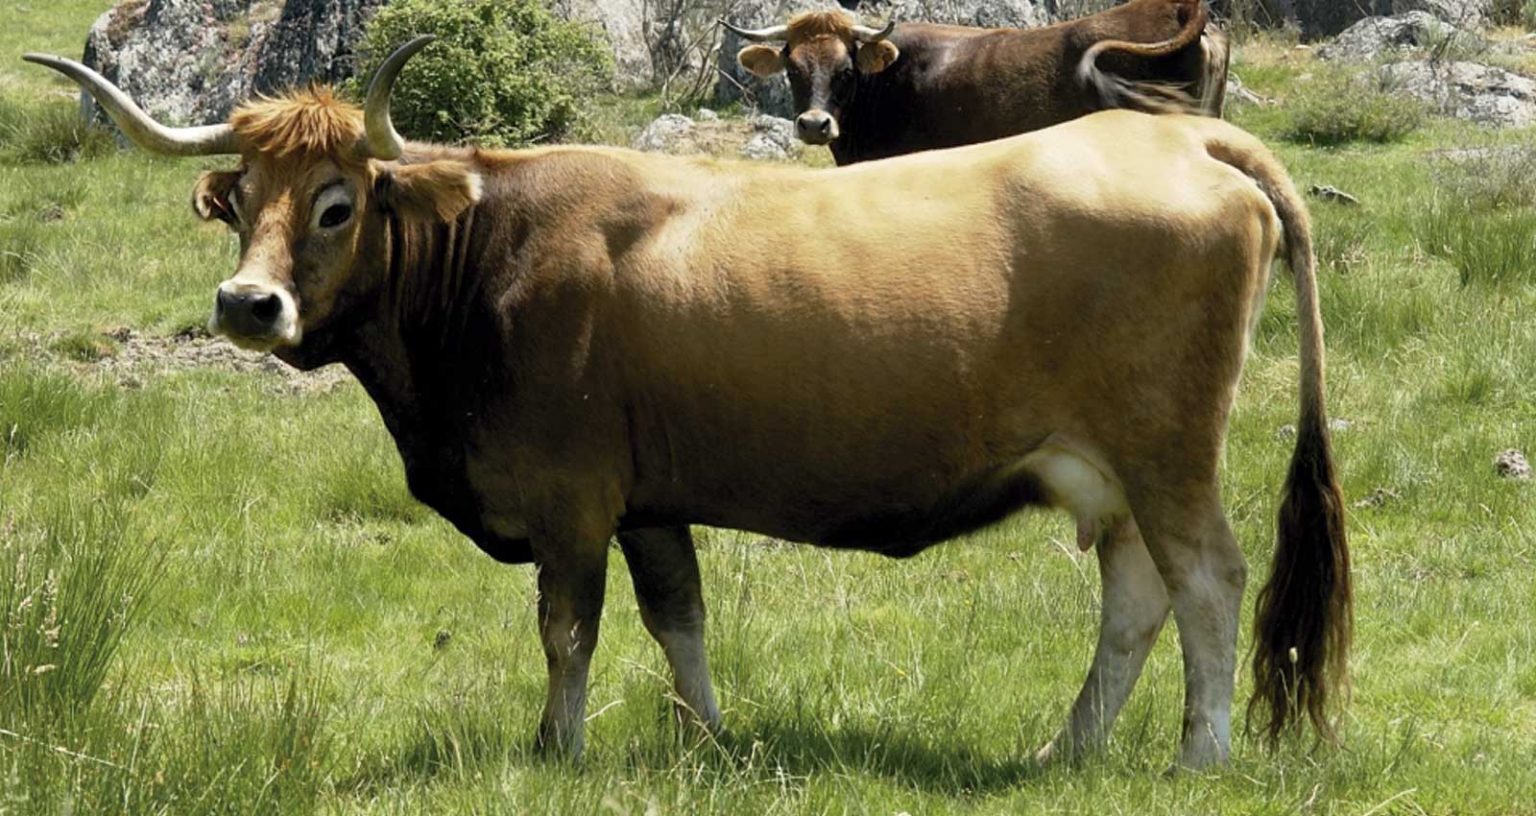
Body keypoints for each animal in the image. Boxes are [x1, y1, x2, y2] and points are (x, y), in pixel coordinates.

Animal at [25, 36, 1347, 769]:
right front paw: (707, 738)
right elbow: (680, 616)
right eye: (241, 198)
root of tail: (1185, 144)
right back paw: (1063, 750)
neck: (490, 252)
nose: (248, 305)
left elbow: (569, 629)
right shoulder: (650, 497)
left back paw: (1198, 757)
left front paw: (557, 750)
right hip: (1104, 473)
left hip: (1169, 457)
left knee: (1207, 585)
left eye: (340, 202)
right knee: (1133, 604)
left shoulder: (569, 498)